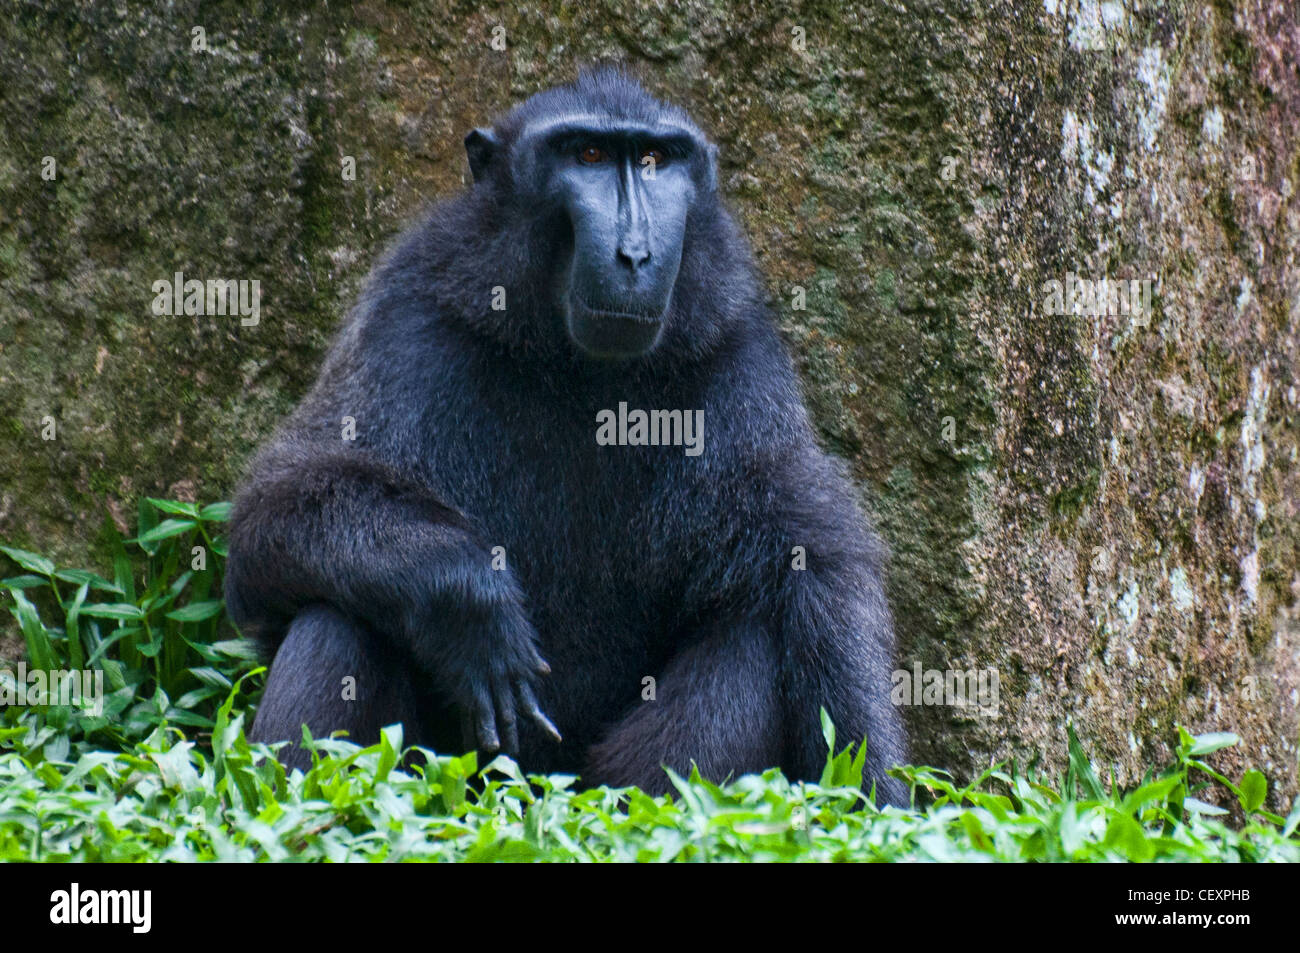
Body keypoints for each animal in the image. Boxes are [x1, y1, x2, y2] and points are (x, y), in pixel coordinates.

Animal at [225, 67, 907, 804]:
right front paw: (465, 597)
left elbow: (814, 563)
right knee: (339, 616)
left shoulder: (739, 358)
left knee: (755, 636)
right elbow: (271, 515)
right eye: (587, 156)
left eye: (653, 160)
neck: (577, 368)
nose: (634, 254)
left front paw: (878, 799)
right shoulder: (408, 313)